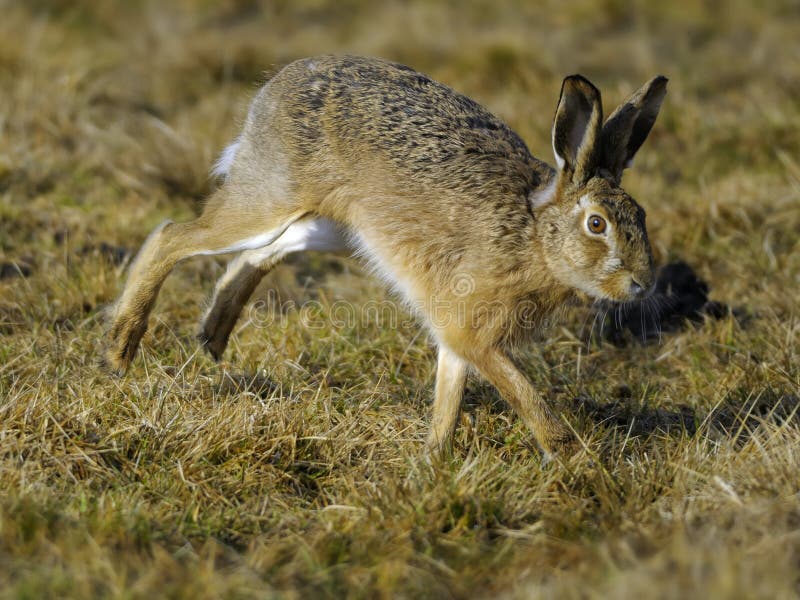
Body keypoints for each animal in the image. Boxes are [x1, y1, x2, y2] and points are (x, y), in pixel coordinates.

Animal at [105, 55, 667, 457]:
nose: (644, 284)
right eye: (597, 224)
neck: (535, 236)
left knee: (262, 254)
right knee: (172, 236)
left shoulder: (456, 334)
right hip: (272, 197)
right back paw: (121, 348)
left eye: (641, 215)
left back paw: (213, 336)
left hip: (333, 226)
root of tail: (277, 84)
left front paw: (432, 459)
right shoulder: (470, 327)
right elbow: (519, 391)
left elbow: (449, 395)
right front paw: (570, 456)